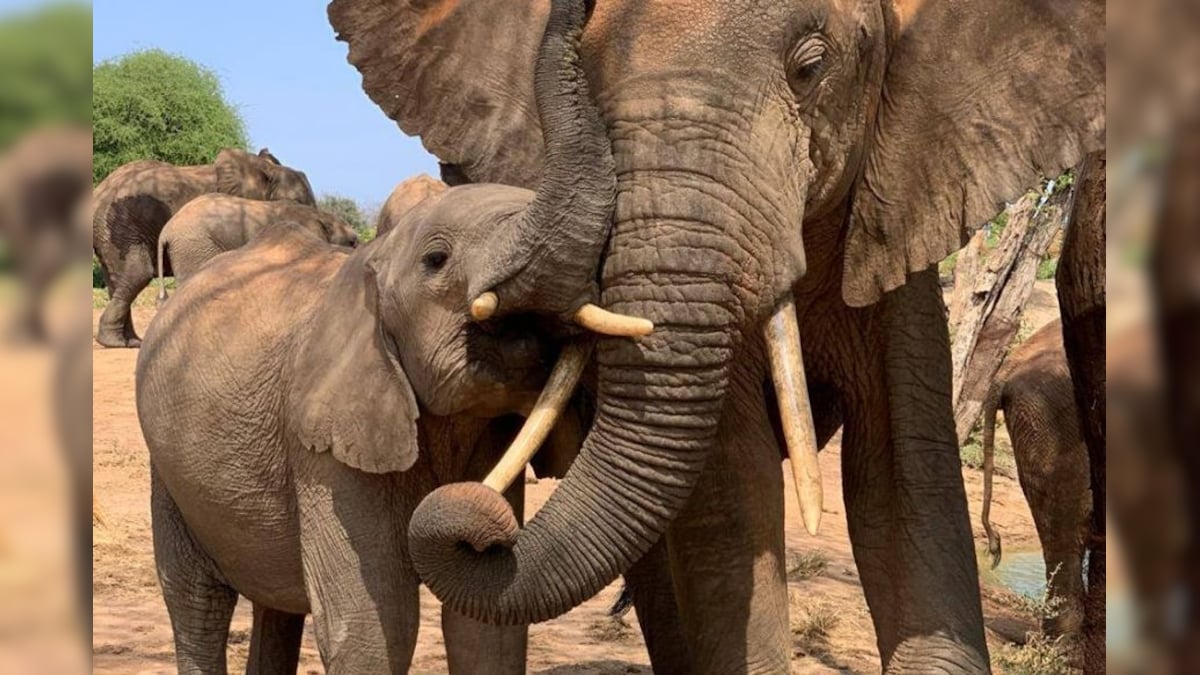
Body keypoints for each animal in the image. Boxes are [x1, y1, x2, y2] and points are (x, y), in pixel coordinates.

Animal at [91, 147, 315, 348]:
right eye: (296, 203)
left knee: (116, 282)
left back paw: (129, 341)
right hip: (123, 225)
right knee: (138, 274)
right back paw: (116, 343)